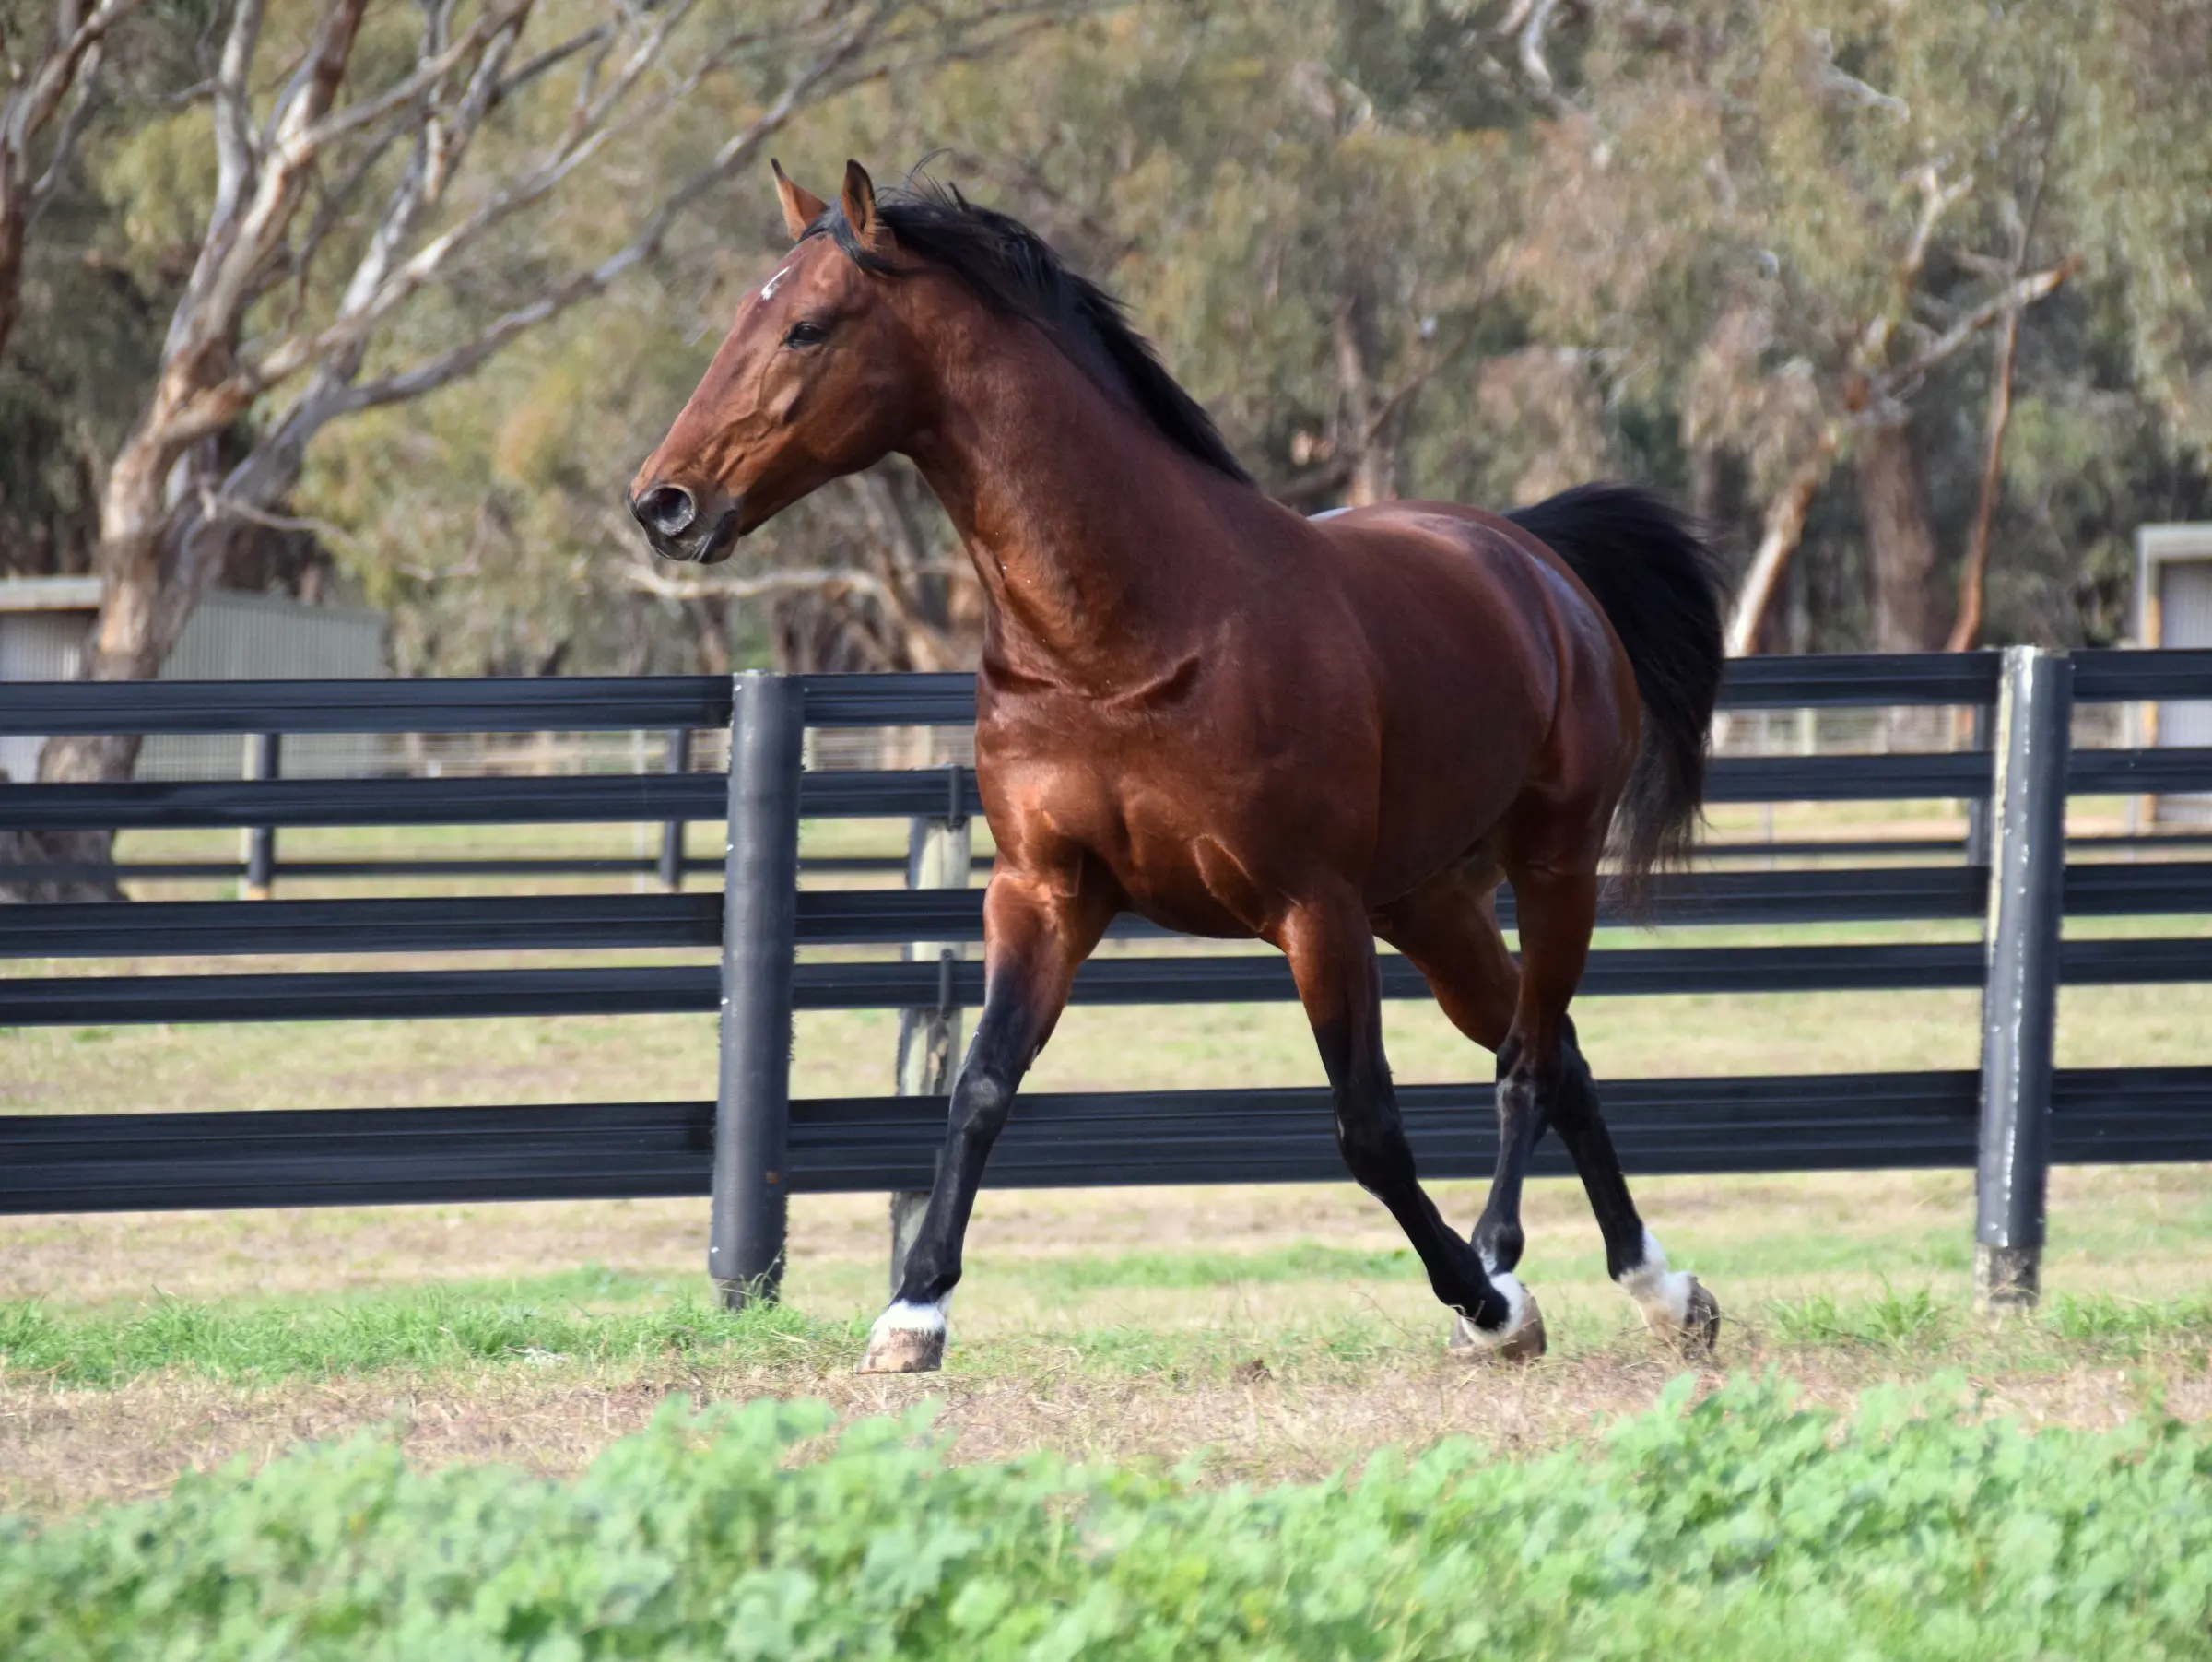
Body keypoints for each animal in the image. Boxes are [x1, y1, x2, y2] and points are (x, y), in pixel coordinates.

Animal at [631, 160, 1727, 1374]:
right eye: (746, 316)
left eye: (807, 327)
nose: (664, 502)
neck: (1125, 641)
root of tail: (1535, 561)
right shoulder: (1044, 895)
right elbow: (980, 1087)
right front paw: (913, 1315)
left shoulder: (1312, 910)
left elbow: (1369, 1129)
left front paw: (1483, 1303)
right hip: (1431, 907)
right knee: (1561, 1055)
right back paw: (1664, 1294)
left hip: (1552, 869)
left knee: (1528, 1063)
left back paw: (1515, 1277)